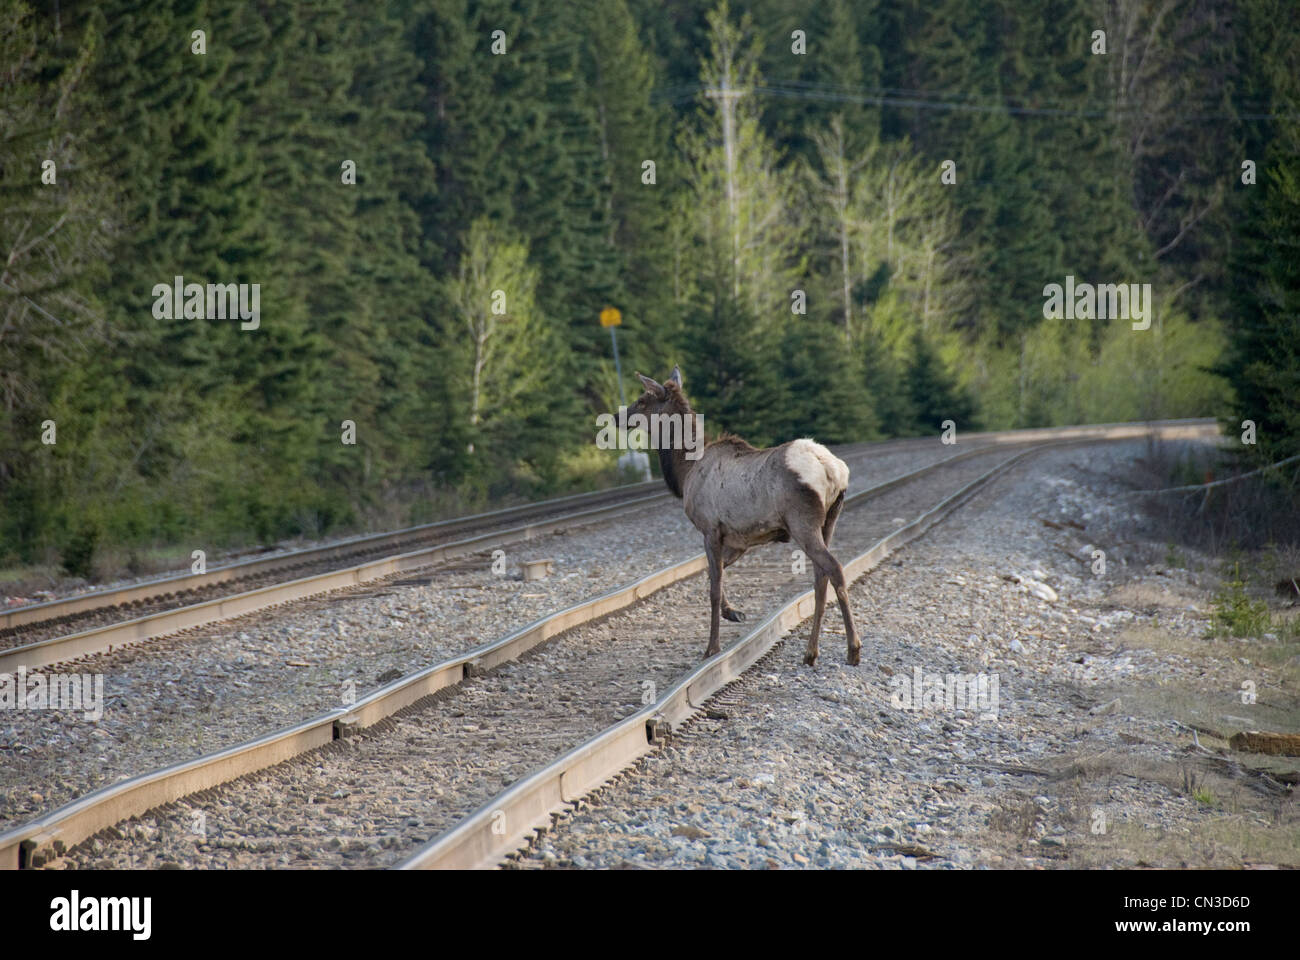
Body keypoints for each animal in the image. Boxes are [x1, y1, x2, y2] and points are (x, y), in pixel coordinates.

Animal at [625, 367, 860, 666]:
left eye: (642, 399)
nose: (620, 417)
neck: (685, 472)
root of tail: (834, 470)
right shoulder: (740, 540)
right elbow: (715, 573)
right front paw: (733, 612)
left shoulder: (710, 528)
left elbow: (714, 586)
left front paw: (712, 647)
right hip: (829, 520)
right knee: (820, 577)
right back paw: (810, 652)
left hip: (802, 522)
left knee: (835, 568)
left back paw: (853, 649)